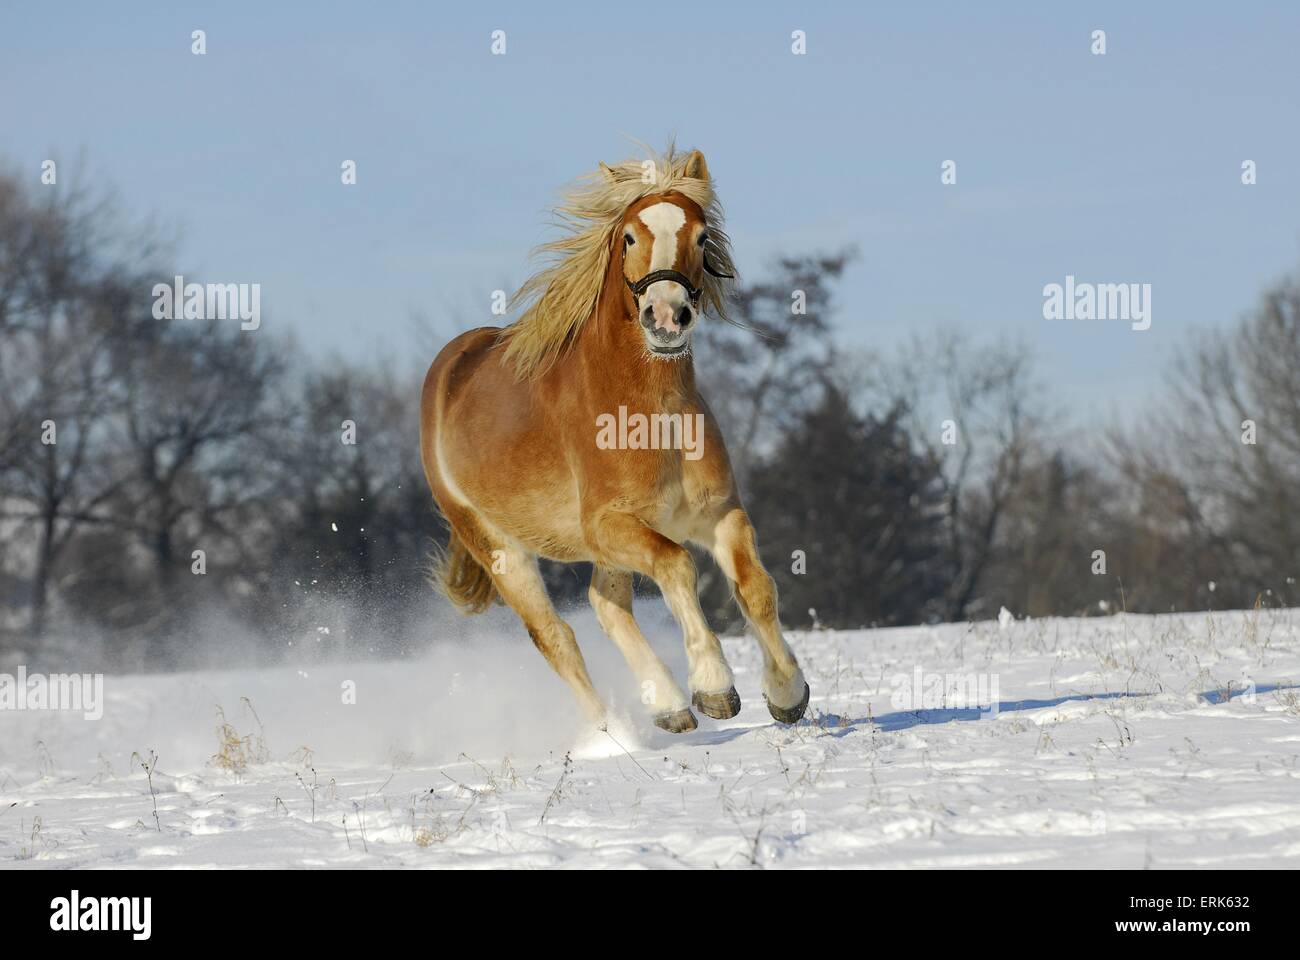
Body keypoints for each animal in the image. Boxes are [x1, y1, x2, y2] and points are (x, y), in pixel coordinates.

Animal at [419, 146, 809, 733]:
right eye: (628, 236)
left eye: (701, 237)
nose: (667, 316)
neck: (652, 414)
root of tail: (448, 369)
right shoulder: (609, 524)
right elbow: (678, 566)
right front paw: (715, 688)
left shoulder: (719, 514)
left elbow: (757, 588)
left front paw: (788, 693)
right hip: (500, 547)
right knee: (556, 637)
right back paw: (612, 736)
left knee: (604, 604)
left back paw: (667, 705)